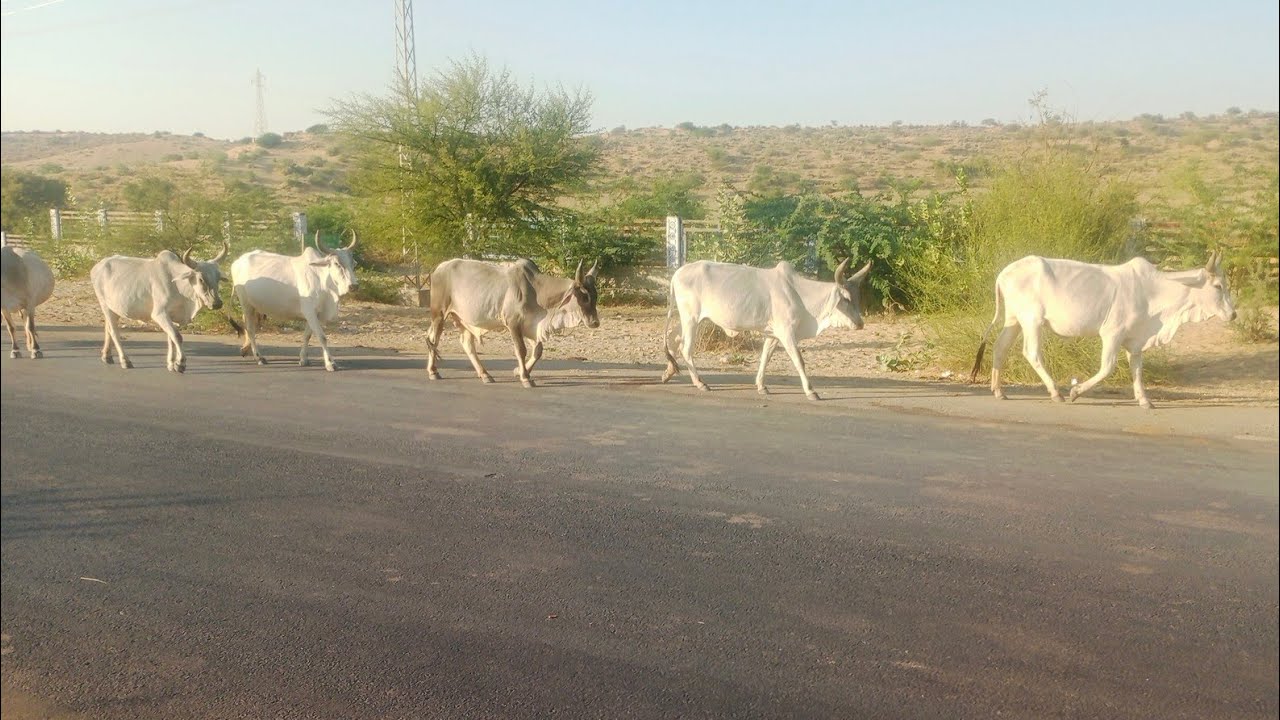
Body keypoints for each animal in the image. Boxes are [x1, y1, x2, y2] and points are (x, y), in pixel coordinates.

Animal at [91, 242, 228, 372]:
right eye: (201, 279)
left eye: (218, 278)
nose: (217, 303)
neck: (178, 286)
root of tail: (97, 266)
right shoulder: (159, 314)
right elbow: (177, 336)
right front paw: (180, 364)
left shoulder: (171, 316)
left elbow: (171, 338)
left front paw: (171, 364)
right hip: (104, 305)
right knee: (114, 332)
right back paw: (125, 361)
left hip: (113, 308)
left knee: (107, 328)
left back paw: (107, 356)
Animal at [229, 231, 359, 372]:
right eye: (337, 263)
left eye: (353, 263)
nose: (354, 286)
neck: (323, 282)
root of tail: (237, 261)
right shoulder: (310, 312)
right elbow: (322, 337)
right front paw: (330, 363)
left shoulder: (317, 315)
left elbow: (307, 335)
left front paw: (303, 359)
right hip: (245, 303)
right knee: (250, 328)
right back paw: (259, 357)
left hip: (256, 307)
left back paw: (245, 349)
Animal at [424, 257, 600, 388]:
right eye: (584, 296)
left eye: (595, 295)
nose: (595, 322)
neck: (536, 291)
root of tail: (439, 268)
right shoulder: (513, 323)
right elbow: (521, 350)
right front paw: (525, 377)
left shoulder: (530, 326)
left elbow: (537, 351)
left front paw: (518, 371)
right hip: (439, 314)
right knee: (433, 339)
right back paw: (433, 372)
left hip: (463, 320)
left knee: (467, 344)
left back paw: (485, 375)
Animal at [661, 258, 873, 401]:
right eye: (846, 298)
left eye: (857, 297)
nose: (860, 323)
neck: (800, 295)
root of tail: (677, 274)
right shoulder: (787, 332)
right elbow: (799, 361)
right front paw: (811, 391)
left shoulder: (773, 334)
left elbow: (765, 358)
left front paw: (761, 386)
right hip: (691, 318)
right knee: (686, 348)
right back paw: (700, 383)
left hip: (692, 319)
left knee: (673, 338)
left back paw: (668, 373)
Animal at [969, 252, 1237, 409]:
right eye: (1218, 286)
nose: (1233, 314)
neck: (1153, 292)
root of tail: (1004, 273)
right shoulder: (1112, 333)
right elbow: (1107, 368)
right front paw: (1076, 391)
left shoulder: (1135, 340)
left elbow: (1137, 370)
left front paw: (1144, 400)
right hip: (1032, 320)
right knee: (1031, 353)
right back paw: (1056, 392)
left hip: (1014, 320)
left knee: (1000, 347)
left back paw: (998, 391)